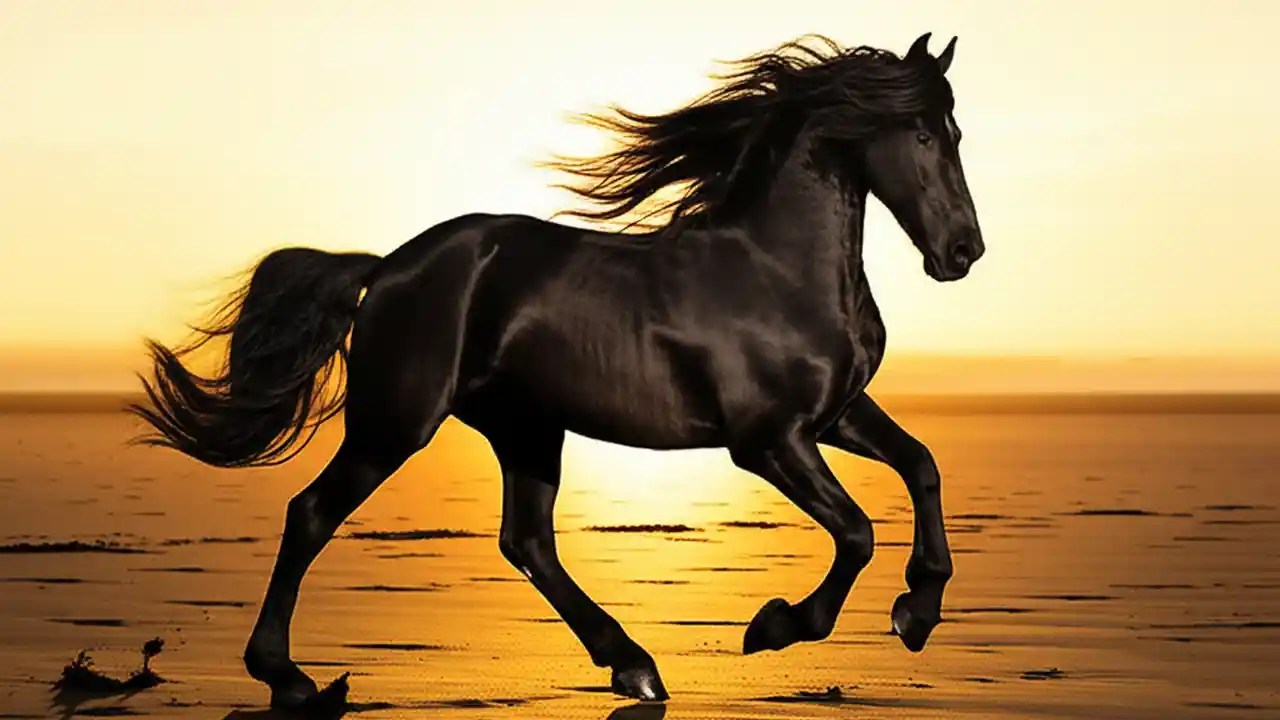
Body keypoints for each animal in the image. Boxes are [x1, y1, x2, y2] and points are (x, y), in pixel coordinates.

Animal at [130, 32, 983, 708]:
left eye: (955, 129)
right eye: (920, 132)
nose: (963, 252)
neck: (775, 271)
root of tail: (387, 268)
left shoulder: (834, 415)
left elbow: (923, 464)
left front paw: (918, 610)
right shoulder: (767, 439)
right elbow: (857, 530)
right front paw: (776, 626)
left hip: (527, 427)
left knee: (527, 541)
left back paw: (634, 666)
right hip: (398, 421)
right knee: (312, 513)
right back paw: (287, 677)